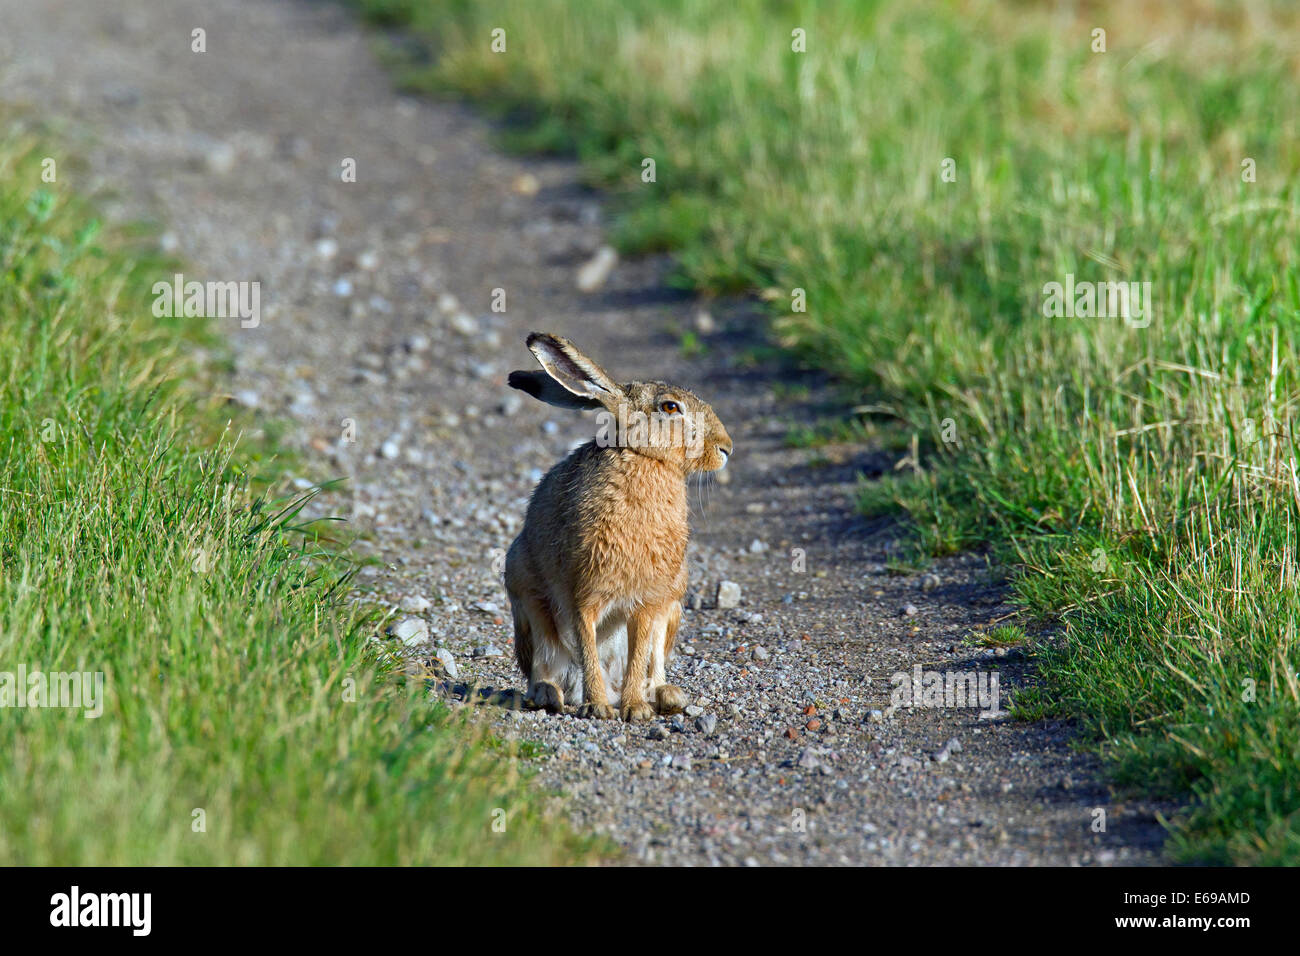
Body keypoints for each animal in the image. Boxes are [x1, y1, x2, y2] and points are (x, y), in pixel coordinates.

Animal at [503, 332, 733, 720]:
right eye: (670, 408)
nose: (725, 448)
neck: (644, 459)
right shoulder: (582, 595)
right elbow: (587, 649)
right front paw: (597, 707)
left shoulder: (647, 604)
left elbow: (637, 656)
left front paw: (635, 709)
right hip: (527, 598)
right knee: (545, 666)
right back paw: (553, 694)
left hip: (673, 605)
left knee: (651, 664)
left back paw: (665, 696)